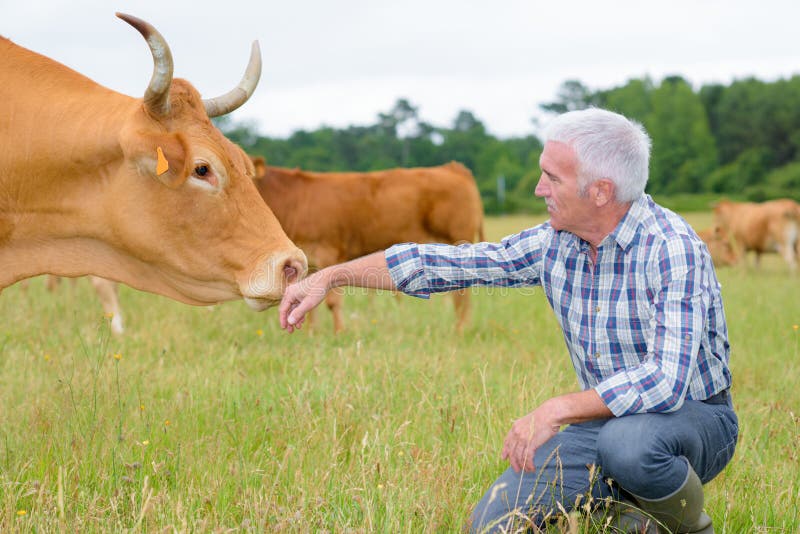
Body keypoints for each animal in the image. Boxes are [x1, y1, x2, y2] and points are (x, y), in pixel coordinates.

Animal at [251, 158, 485, 333]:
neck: (296, 200)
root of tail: (451, 168)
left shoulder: (329, 253)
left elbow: (332, 302)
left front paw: (339, 332)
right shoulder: (310, 260)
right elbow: (308, 305)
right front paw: (312, 333)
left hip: (458, 240)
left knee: (463, 295)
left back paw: (460, 329)